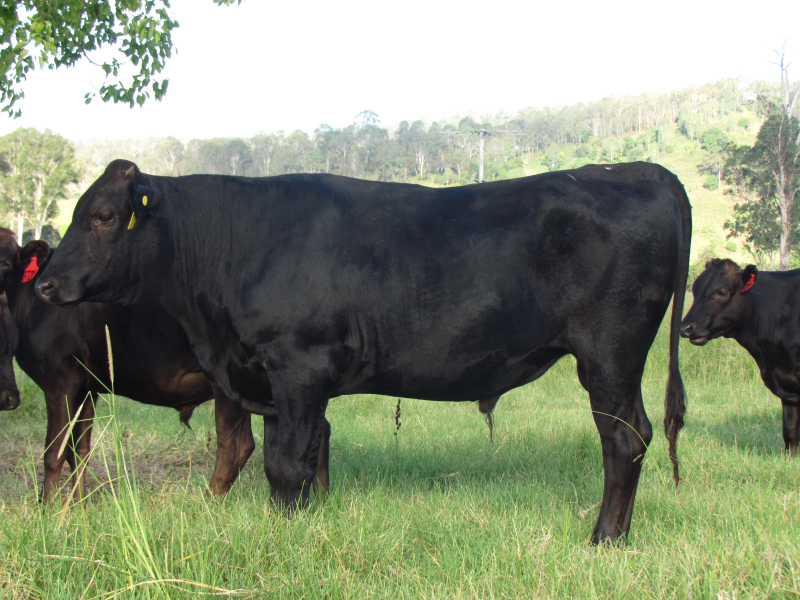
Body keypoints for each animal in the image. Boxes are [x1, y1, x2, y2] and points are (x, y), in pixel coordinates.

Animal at [0, 229, 330, 500]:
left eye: (4, 264)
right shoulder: (88, 387)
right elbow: (78, 450)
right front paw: (77, 505)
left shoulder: (59, 379)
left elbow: (52, 451)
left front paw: (47, 510)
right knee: (318, 430)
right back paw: (322, 499)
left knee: (236, 446)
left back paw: (209, 504)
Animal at [35, 160, 691, 544]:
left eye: (103, 216)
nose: (44, 285)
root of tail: (640, 170)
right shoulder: (272, 381)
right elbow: (298, 455)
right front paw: (304, 521)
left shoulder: (298, 365)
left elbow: (286, 463)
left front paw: (287, 538)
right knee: (634, 436)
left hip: (609, 356)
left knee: (623, 440)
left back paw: (605, 539)